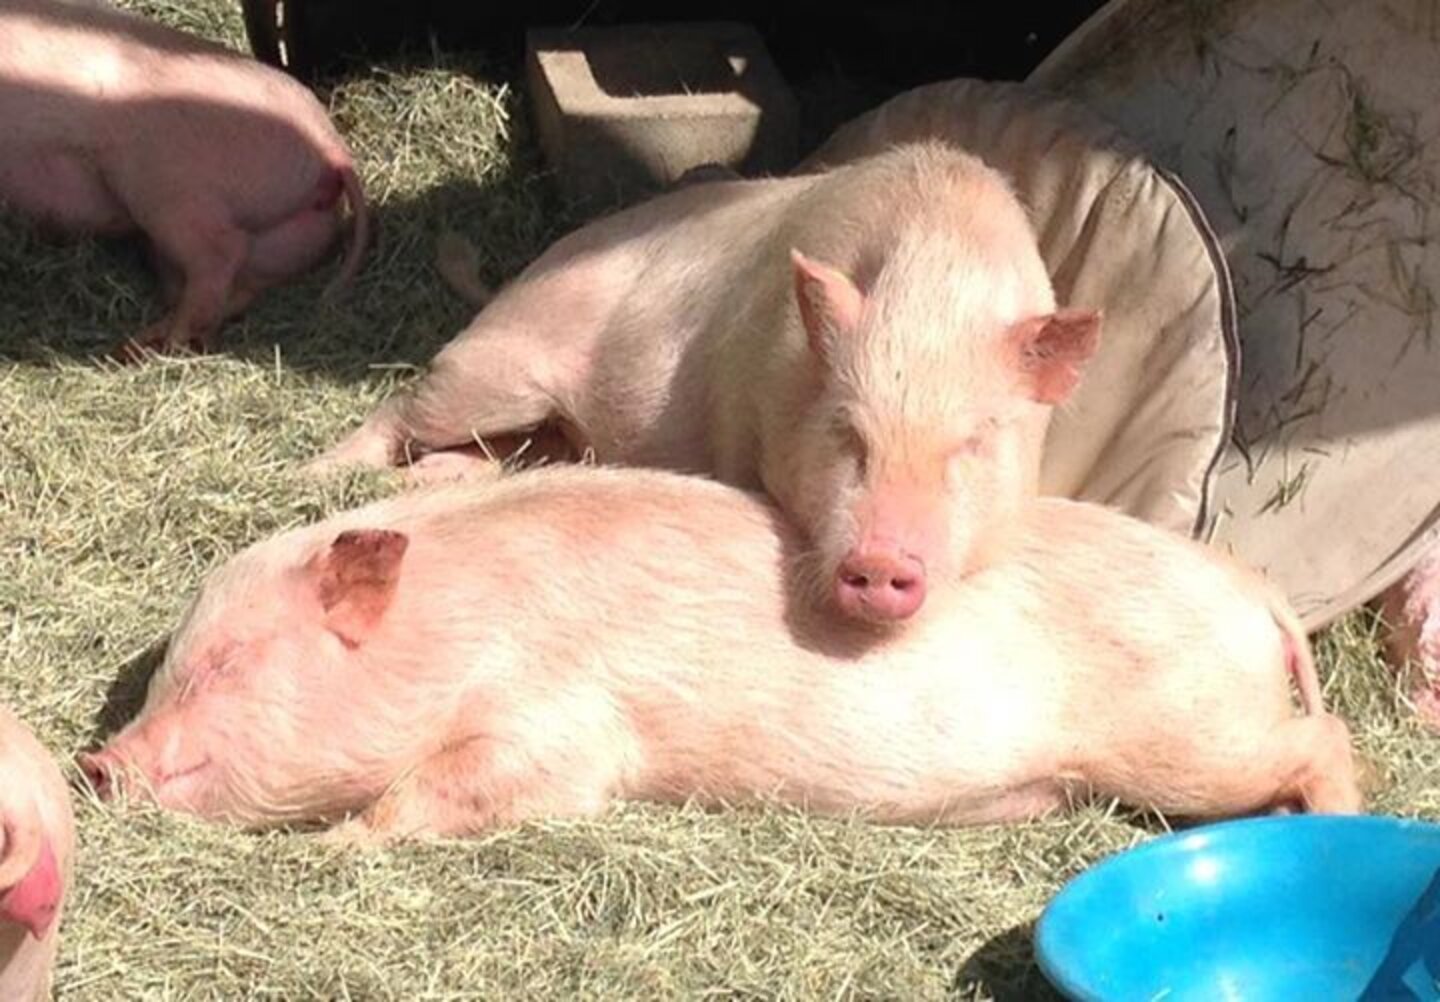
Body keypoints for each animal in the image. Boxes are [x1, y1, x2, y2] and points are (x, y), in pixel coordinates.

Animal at [0, 0, 370, 357]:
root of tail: (326, 140)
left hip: (165, 185)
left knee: (220, 255)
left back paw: (160, 345)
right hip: (284, 241)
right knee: (232, 291)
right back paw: (137, 347)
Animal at [81, 464, 1361, 842]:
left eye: (228, 665)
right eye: (166, 664)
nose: (97, 765)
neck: (461, 627)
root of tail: (1251, 592)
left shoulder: (561, 727)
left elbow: (452, 788)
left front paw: (337, 845)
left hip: (1188, 741)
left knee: (1328, 736)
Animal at [305, 141, 1101, 628]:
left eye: (972, 443)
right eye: (847, 430)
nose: (879, 563)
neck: (932, 289)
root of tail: (516, 280)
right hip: (491, 372)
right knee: (399, 410)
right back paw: (314, 469)